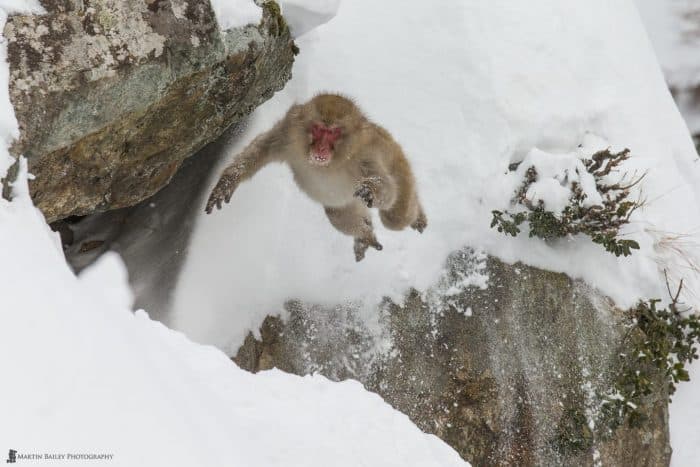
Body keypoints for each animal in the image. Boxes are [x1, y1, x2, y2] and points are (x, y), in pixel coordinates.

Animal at [205, 93, 427, 261]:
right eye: (319, 129)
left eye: (334, 133)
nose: (321, 148)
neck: (330, 164)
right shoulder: (289, 132)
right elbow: (262, 149)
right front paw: (228, 181)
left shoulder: (365, 155)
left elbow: (388, 189)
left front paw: (370, 189)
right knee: (337, 214)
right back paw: (365, 235)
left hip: (398, 162)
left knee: (394, 217)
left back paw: (417, 215)